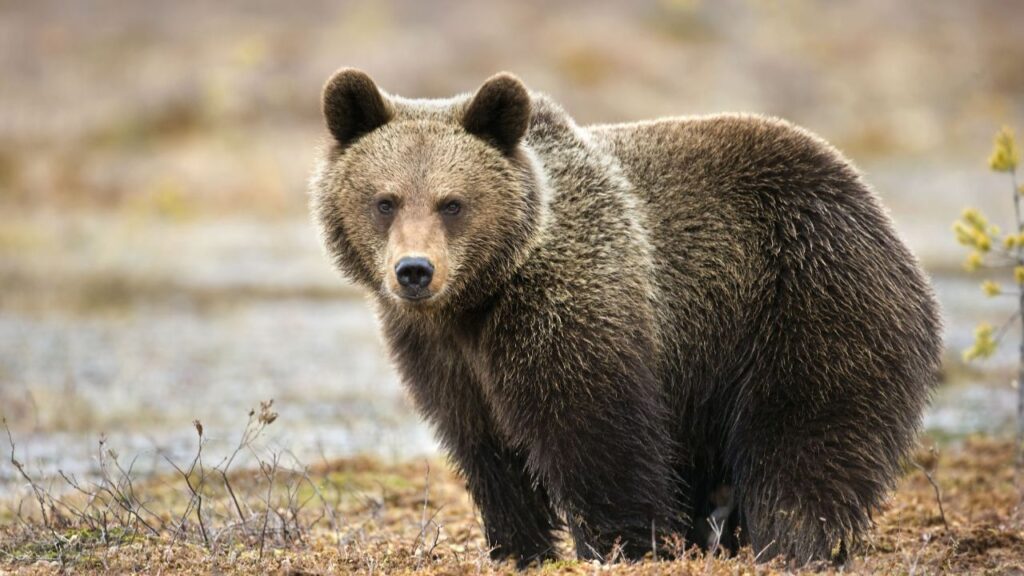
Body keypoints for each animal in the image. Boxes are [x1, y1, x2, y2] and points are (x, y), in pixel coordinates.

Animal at [309, 69, 943, 567]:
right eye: (385, 200)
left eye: (452, 203)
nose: (414, 271)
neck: (477, 300)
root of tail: (870, 201)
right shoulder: (442, 355)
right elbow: (486, 451)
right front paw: (518, 548)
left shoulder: (570, 305)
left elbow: (596, 434)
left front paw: (625, 546)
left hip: (808, 295)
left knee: (807, 437)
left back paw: (793, 543)